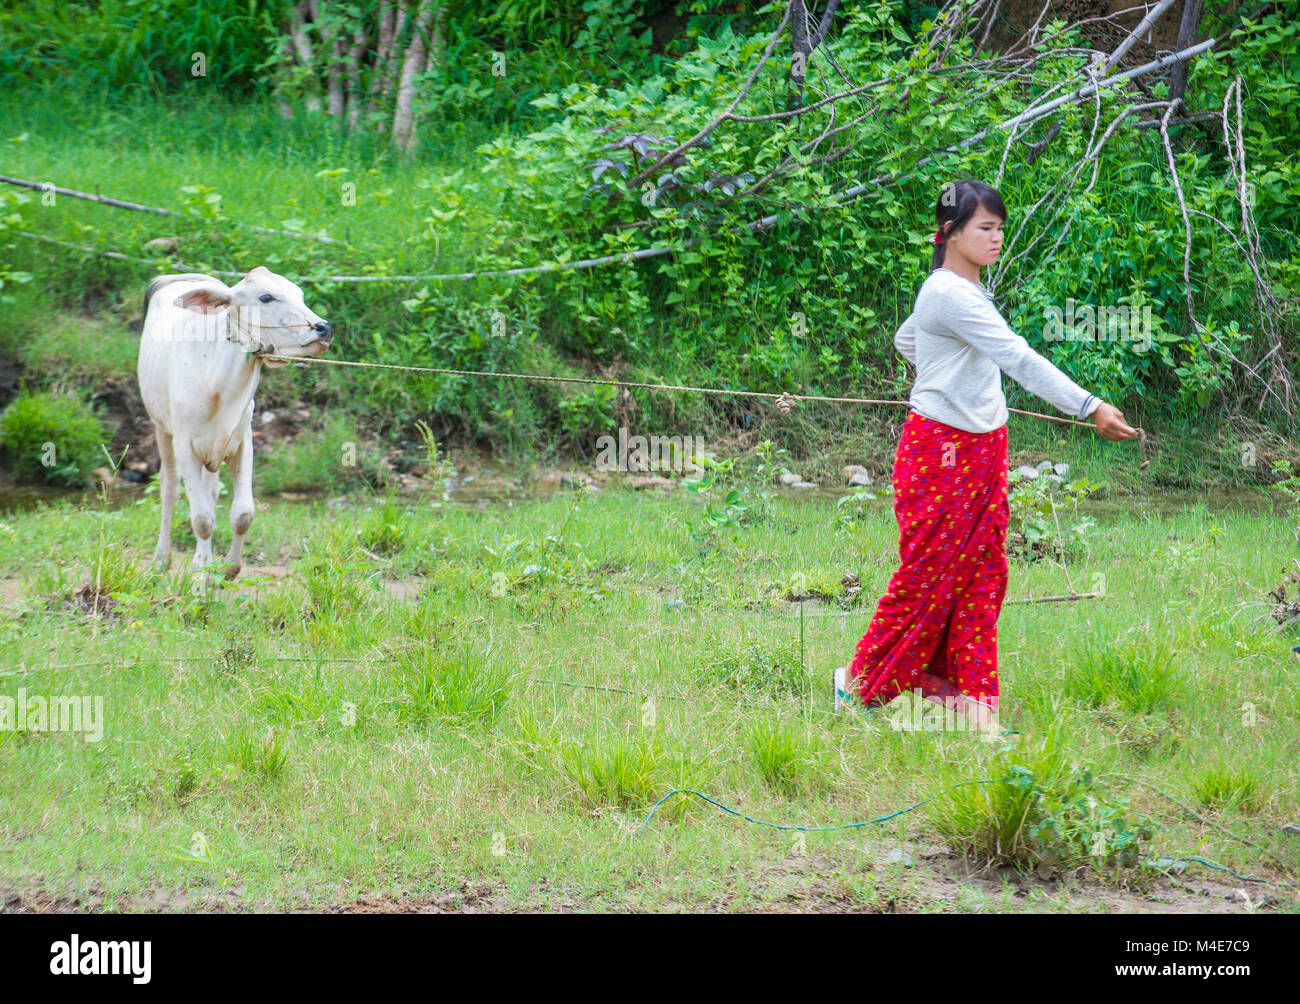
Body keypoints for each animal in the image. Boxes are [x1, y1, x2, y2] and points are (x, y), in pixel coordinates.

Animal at [137, 267, 333, 579]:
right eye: (266, 297)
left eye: (299, 295)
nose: (324, 328)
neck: (217, 382)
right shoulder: (185, 446)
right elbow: (202, 520)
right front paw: (200, 574)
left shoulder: (242, 443)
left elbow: (242, 514)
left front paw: (227, 568)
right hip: (161, 429)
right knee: (169, 487)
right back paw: (162, 559)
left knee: (212, 491)